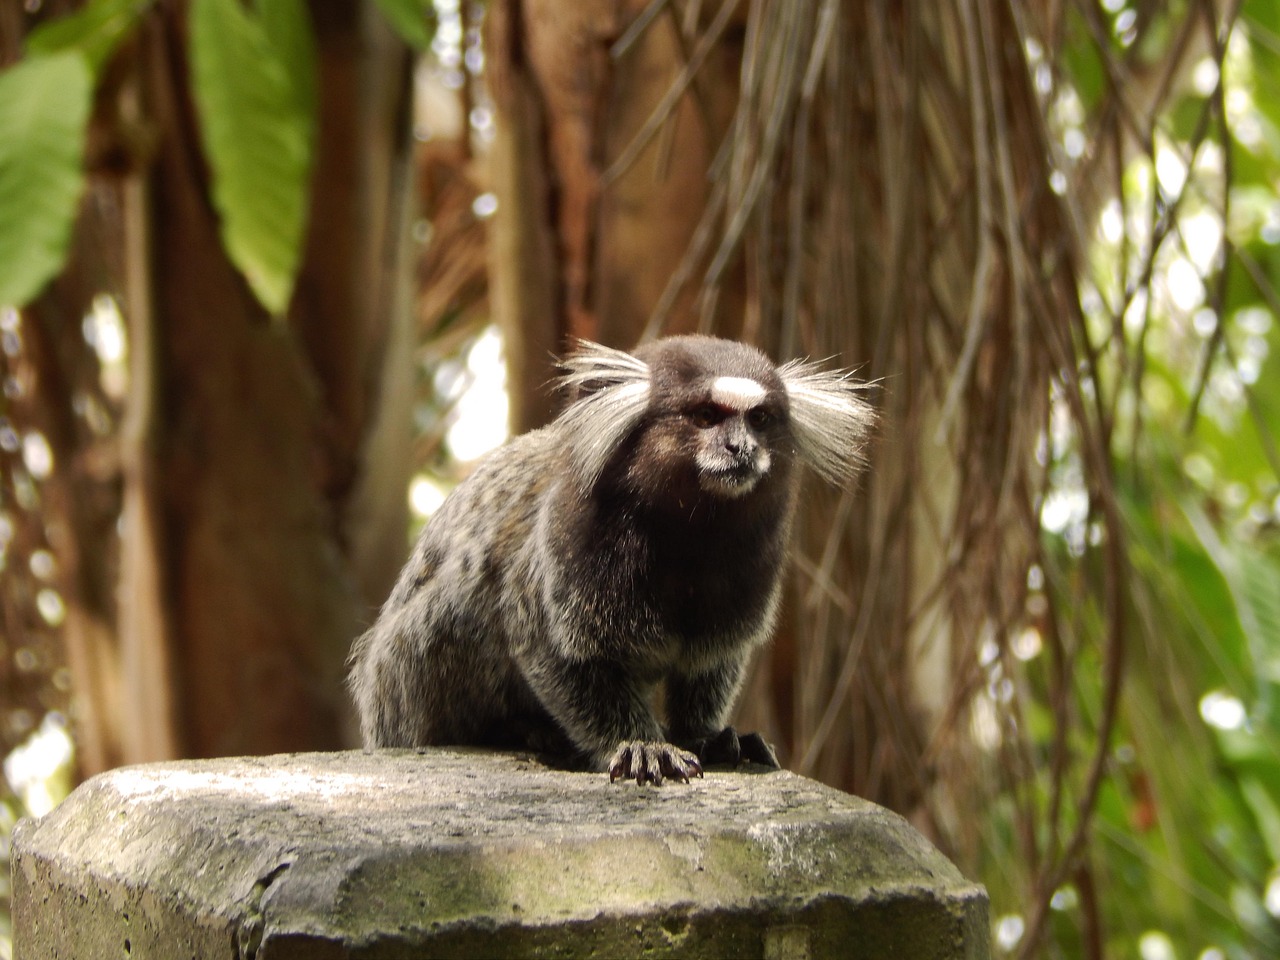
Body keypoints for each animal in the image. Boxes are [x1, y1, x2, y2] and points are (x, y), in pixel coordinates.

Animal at [347, 335, 875, 785]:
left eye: (759, 419)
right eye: (706, 415)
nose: (739, 448)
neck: (686, 535)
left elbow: (710, 663)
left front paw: (705, 735)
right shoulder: (568, 550)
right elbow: (557, 652)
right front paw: (642, 744)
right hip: (404, 676)